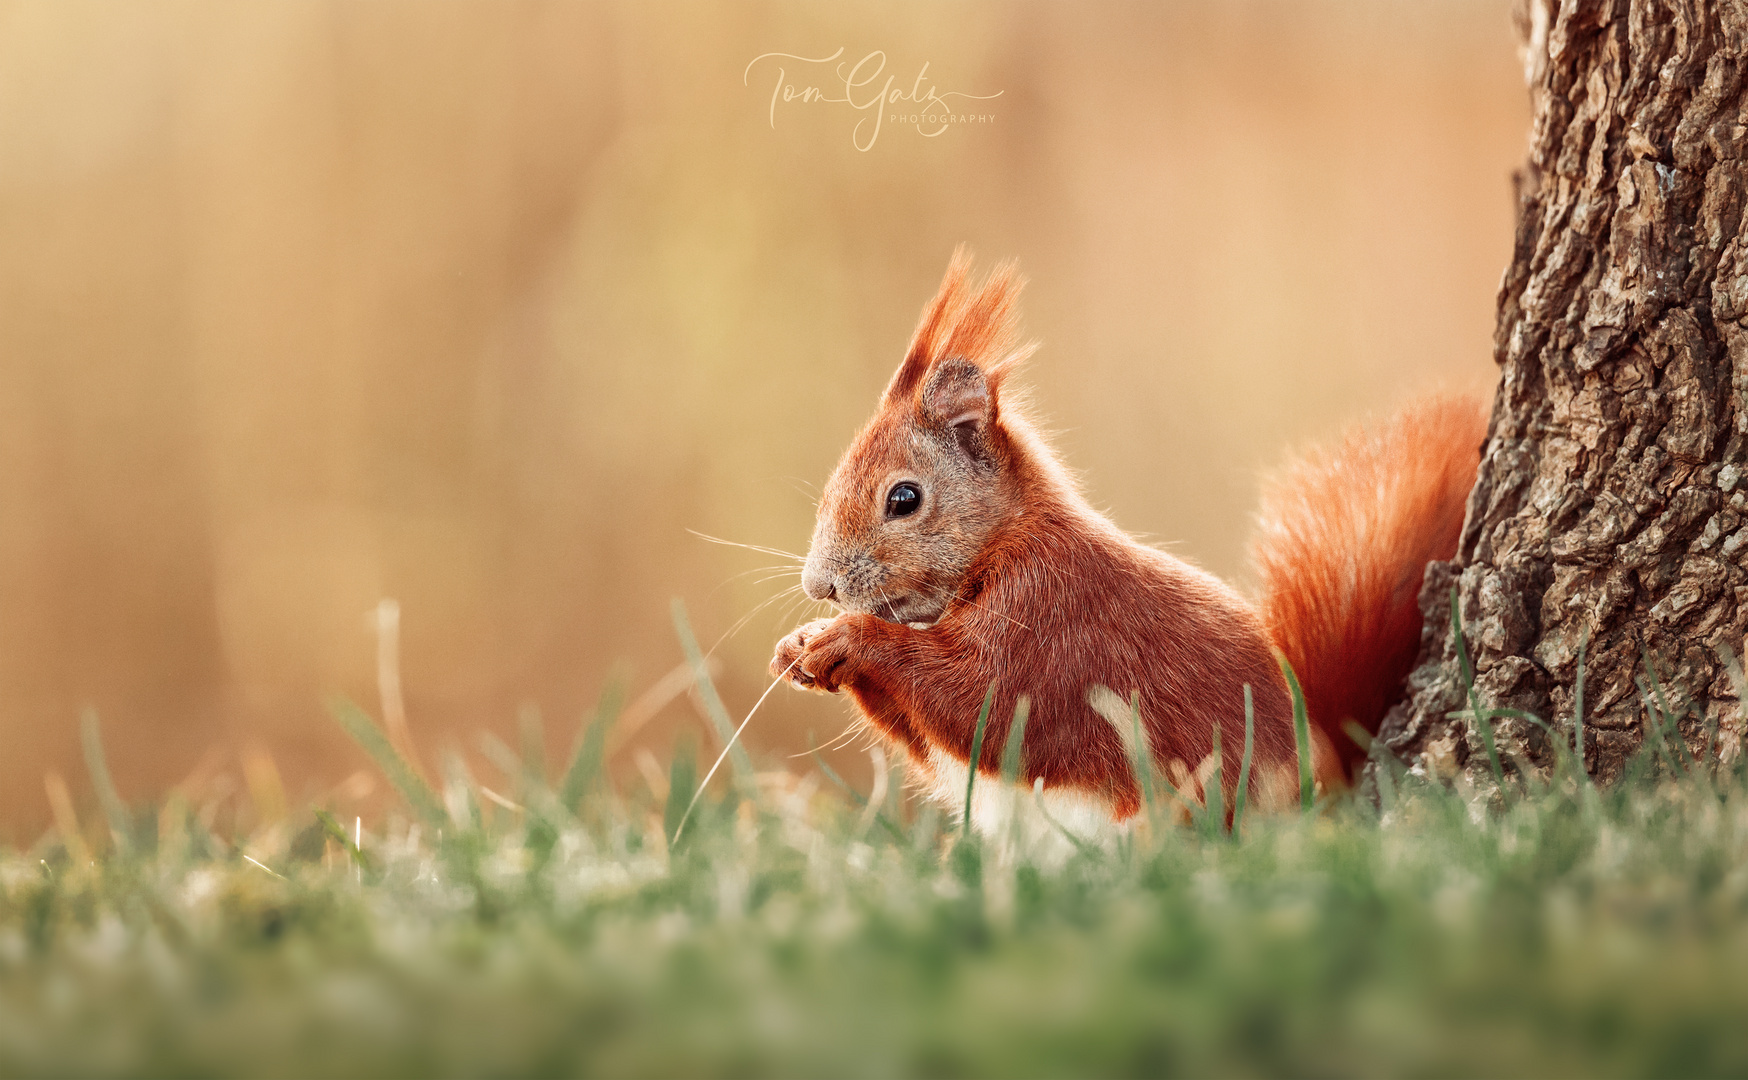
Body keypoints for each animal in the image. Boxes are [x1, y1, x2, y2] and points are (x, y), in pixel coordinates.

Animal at [772, 248, 1482, 828]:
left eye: (904, 499)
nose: (818, 585)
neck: (1007, 543)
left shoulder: (1056, 623)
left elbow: (984, 707)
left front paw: (849, 640)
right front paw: (799, 646)